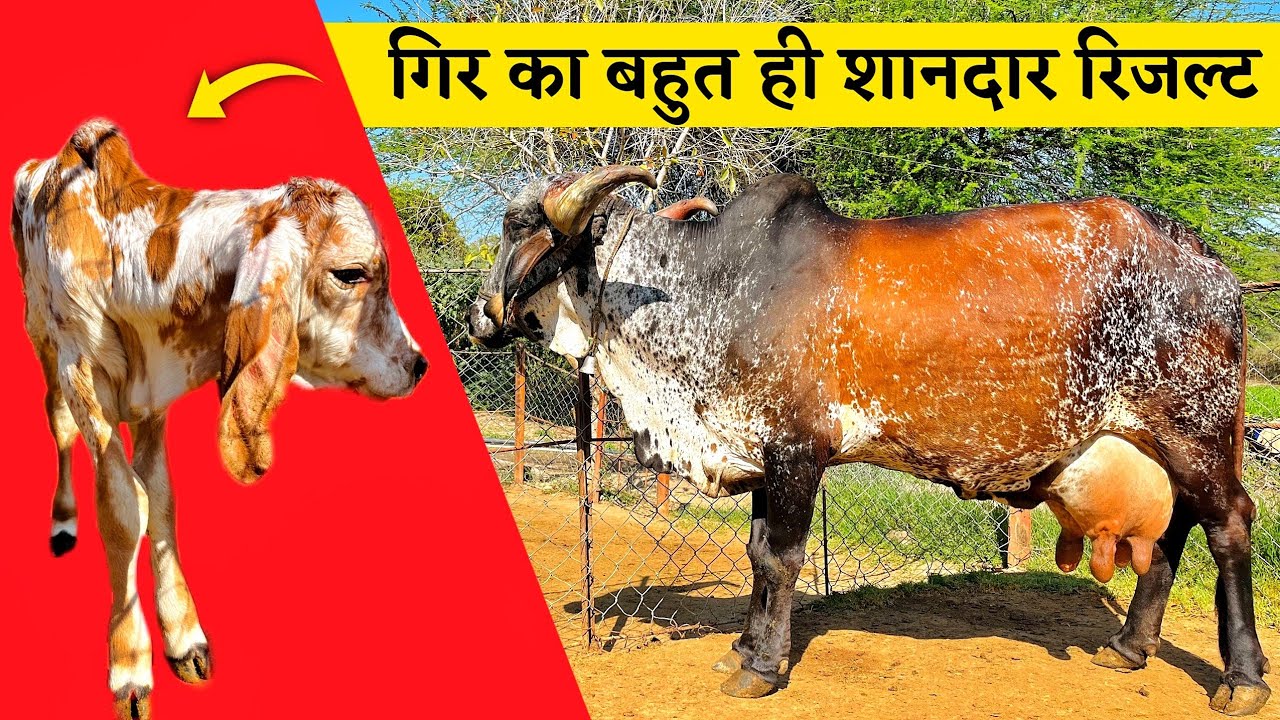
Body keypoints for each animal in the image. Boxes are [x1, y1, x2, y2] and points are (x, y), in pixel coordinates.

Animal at [12, 119, 427, 720]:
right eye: (351, 273)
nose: (418, 364)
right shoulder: (82, 374)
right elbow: (123, 509)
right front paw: (129, 664)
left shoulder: (153, 402)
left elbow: (160, 500)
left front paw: (184, 636)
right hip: (40, 339)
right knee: (57, 422)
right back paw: (63, 519)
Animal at [468, 165, 1271, 715]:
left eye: (516, 229)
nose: (479, 315)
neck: (710, 289)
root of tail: (1211, 265)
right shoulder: (759, 452)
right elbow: (757, 554)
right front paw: (742, 647)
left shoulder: (796, 453)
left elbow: (781, 558)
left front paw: (761, 668)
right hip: (1160, 443)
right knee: (1171, 537)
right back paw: (1130, 648)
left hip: (1194, 429)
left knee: (1229, 526)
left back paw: (1243, 678)